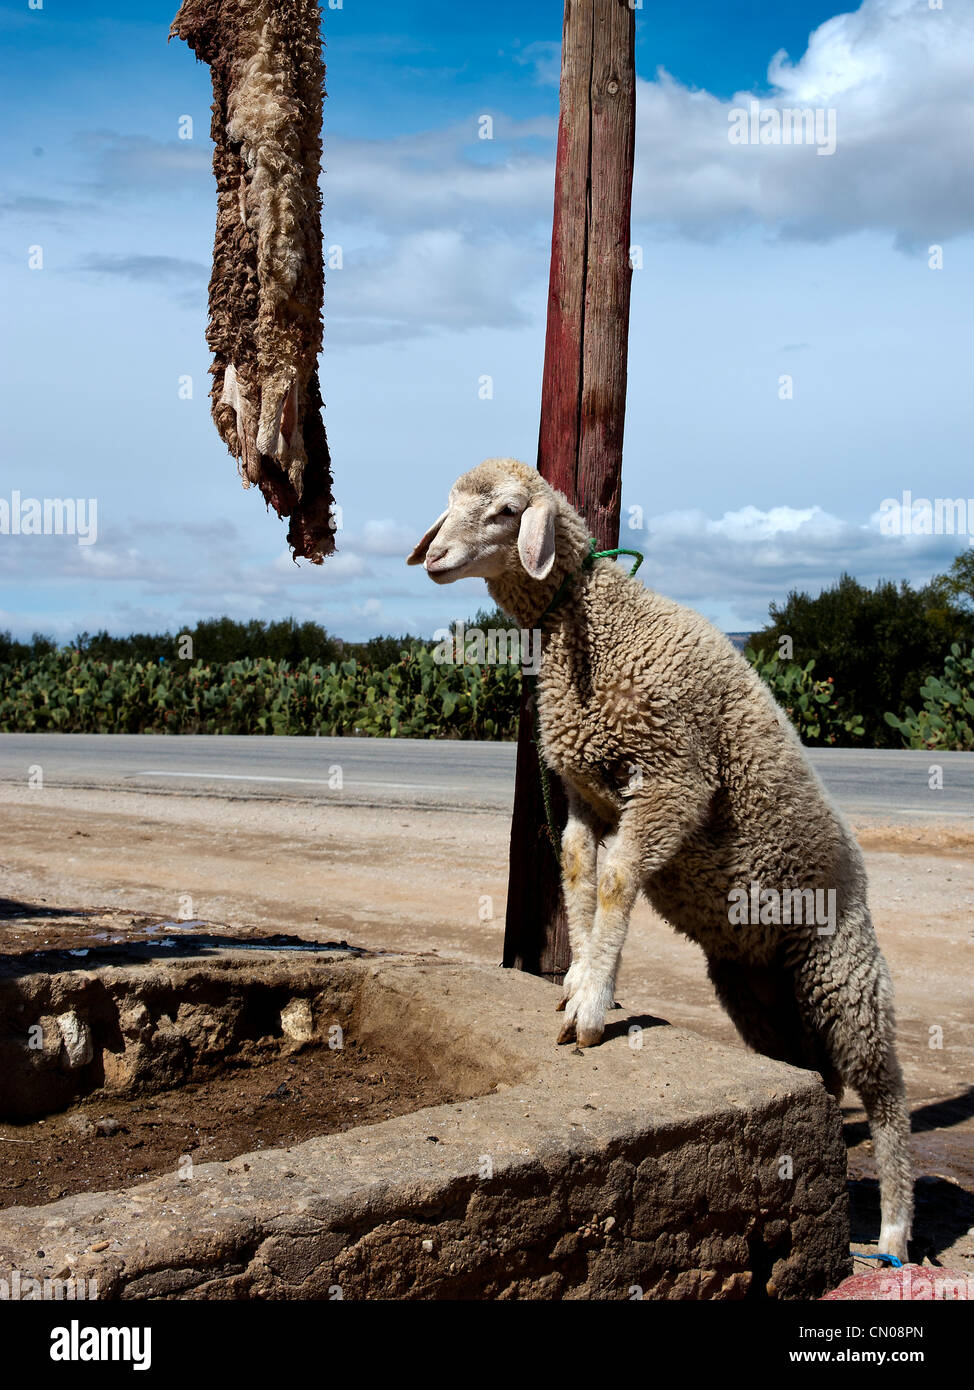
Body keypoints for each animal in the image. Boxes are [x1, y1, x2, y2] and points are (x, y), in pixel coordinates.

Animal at [408, 456, 914, 1263]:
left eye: (508, 511)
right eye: (450, 503)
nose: (435, 558)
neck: (591, 625)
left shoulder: (674, 779)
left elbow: (618, 880)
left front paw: (590, 1007)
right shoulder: (586, 791)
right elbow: (577, 873)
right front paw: (580, 975)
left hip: (844, 968)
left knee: (887, 1091)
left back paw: (895, 1227)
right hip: (758, 989)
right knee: (821, 1075)